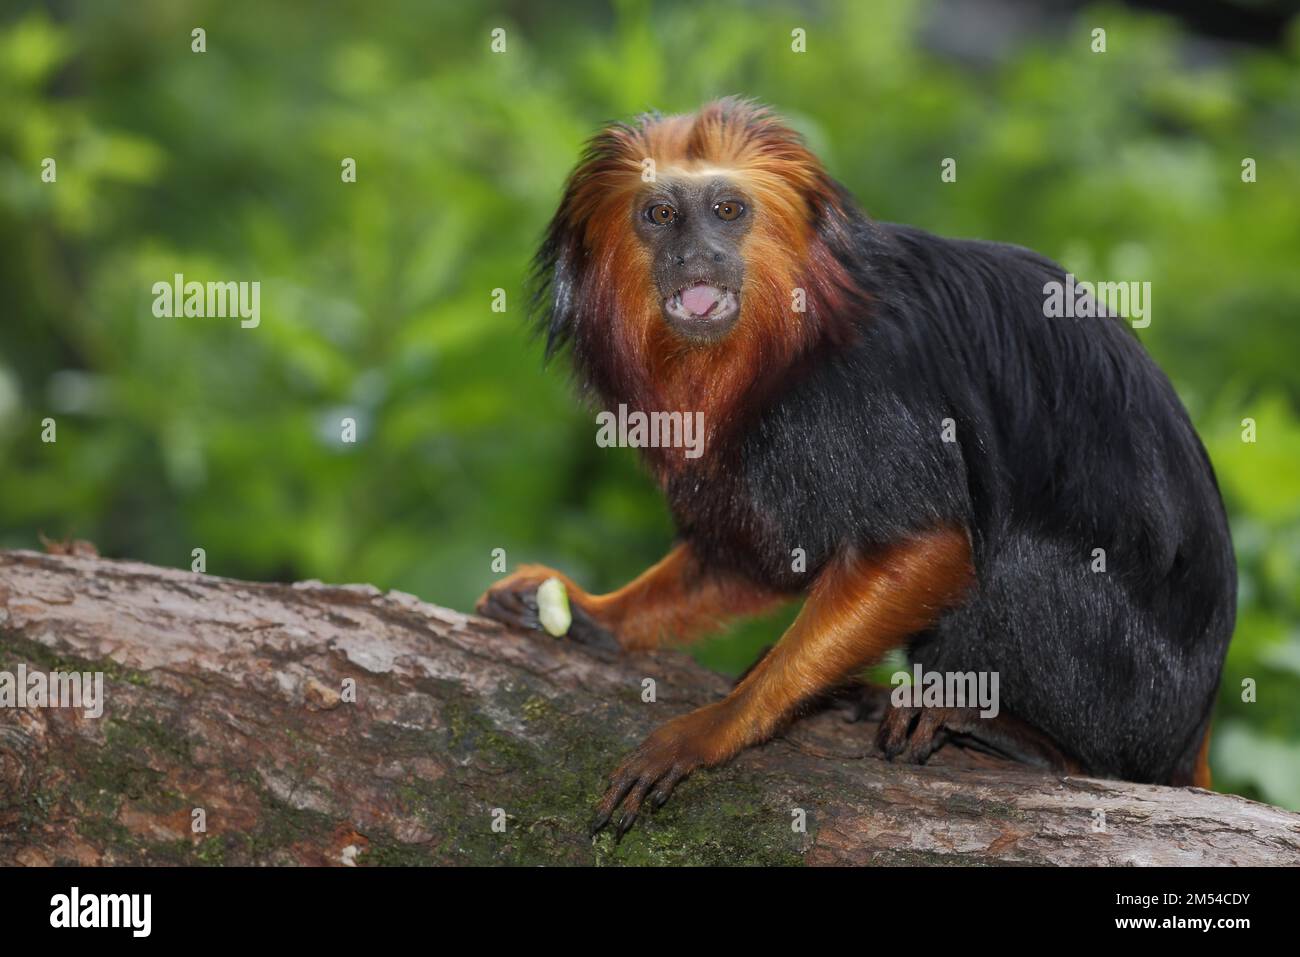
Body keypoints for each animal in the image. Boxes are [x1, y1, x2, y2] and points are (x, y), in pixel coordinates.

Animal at [477, 98, 1236, 838]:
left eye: (726, 210)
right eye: (660, 216)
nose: (696, 256)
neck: (779, 349)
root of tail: (1194, 727)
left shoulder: (867, 389)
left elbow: (927, 545)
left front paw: (717, 725)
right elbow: (757, 561)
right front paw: (588, 613)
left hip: (1137, 699)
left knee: (1018, 555)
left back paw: (1022, 738)